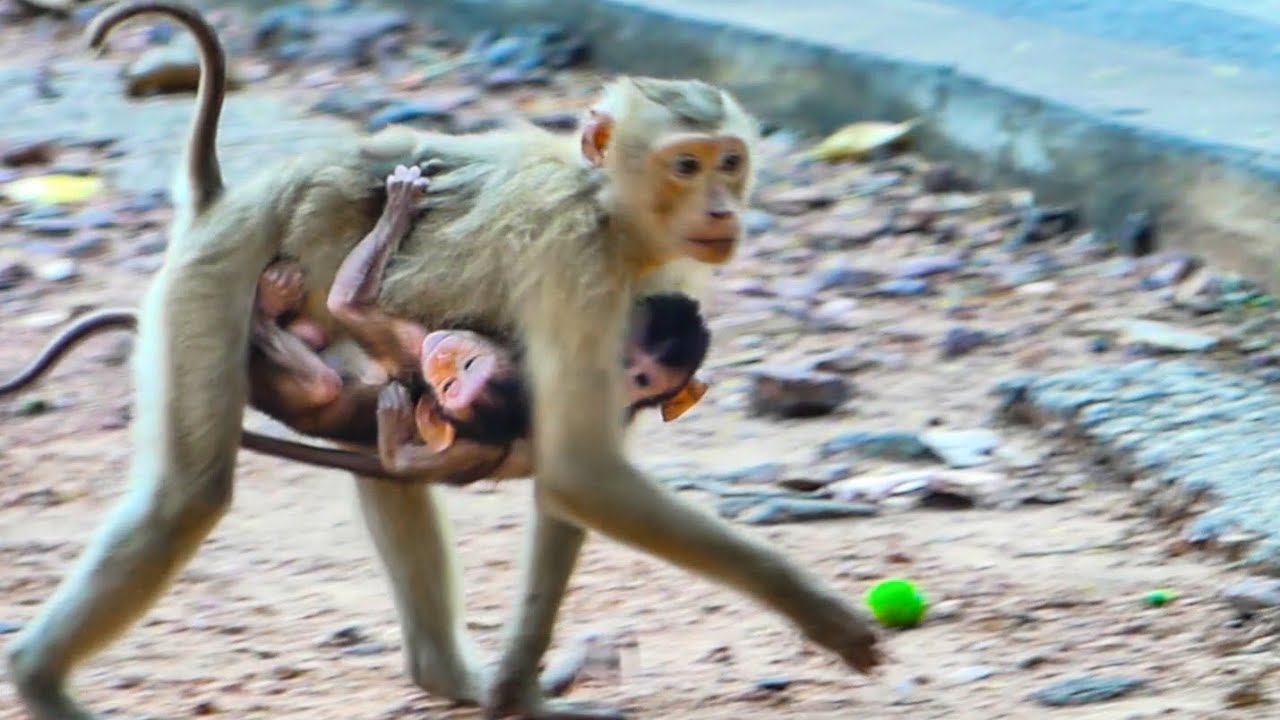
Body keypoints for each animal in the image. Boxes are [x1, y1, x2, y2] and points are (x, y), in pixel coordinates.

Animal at [7, 4, 882, 720]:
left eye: (729, 160)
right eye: (687, 165)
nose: (722, 208)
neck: (605, 205)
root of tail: (226, 201)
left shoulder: (654, 285)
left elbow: (574, 474)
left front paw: (517, 693)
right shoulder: (576, 259)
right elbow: (582, 470)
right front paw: (818, 611)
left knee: (377, 447)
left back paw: (443, 675)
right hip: (211, 280)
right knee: (187, 495)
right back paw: (37, 679)